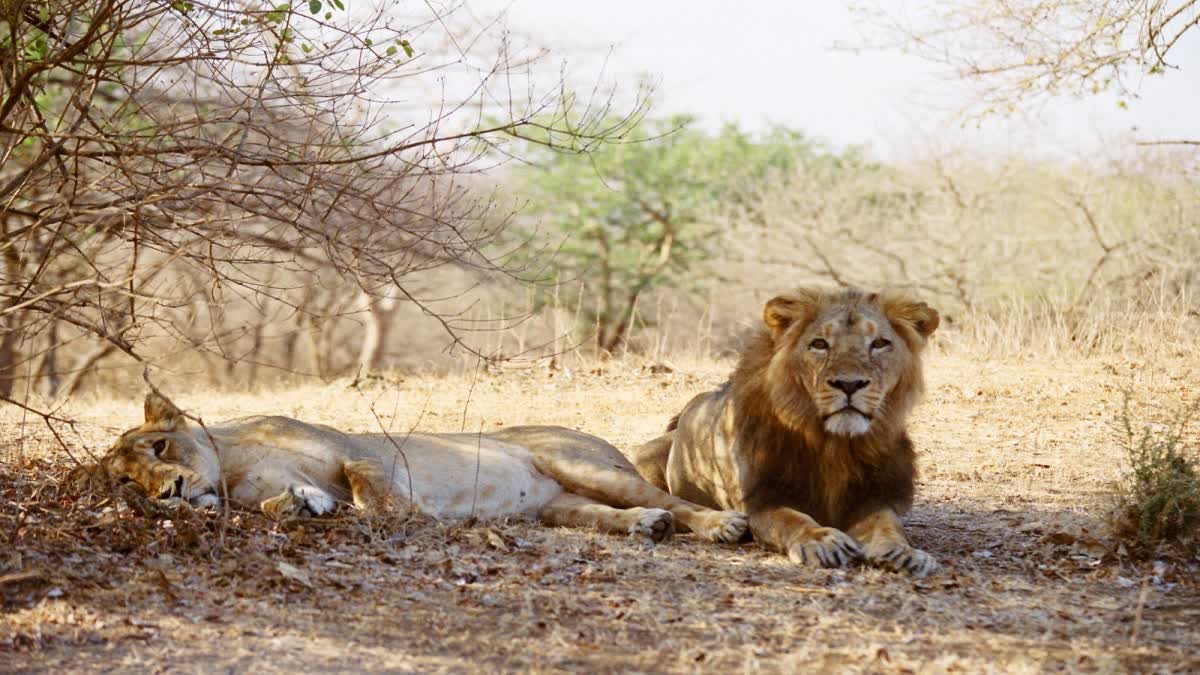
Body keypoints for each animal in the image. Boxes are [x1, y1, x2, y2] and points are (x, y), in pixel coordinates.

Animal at [629, 287, 940, 576]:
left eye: (879, 344)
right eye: (819, 344)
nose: (849, 384)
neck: (835, 445)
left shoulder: (874, 497)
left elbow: (887, 525)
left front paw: (904, 552)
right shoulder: (762, 502)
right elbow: (793, 520)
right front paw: (822, 541)